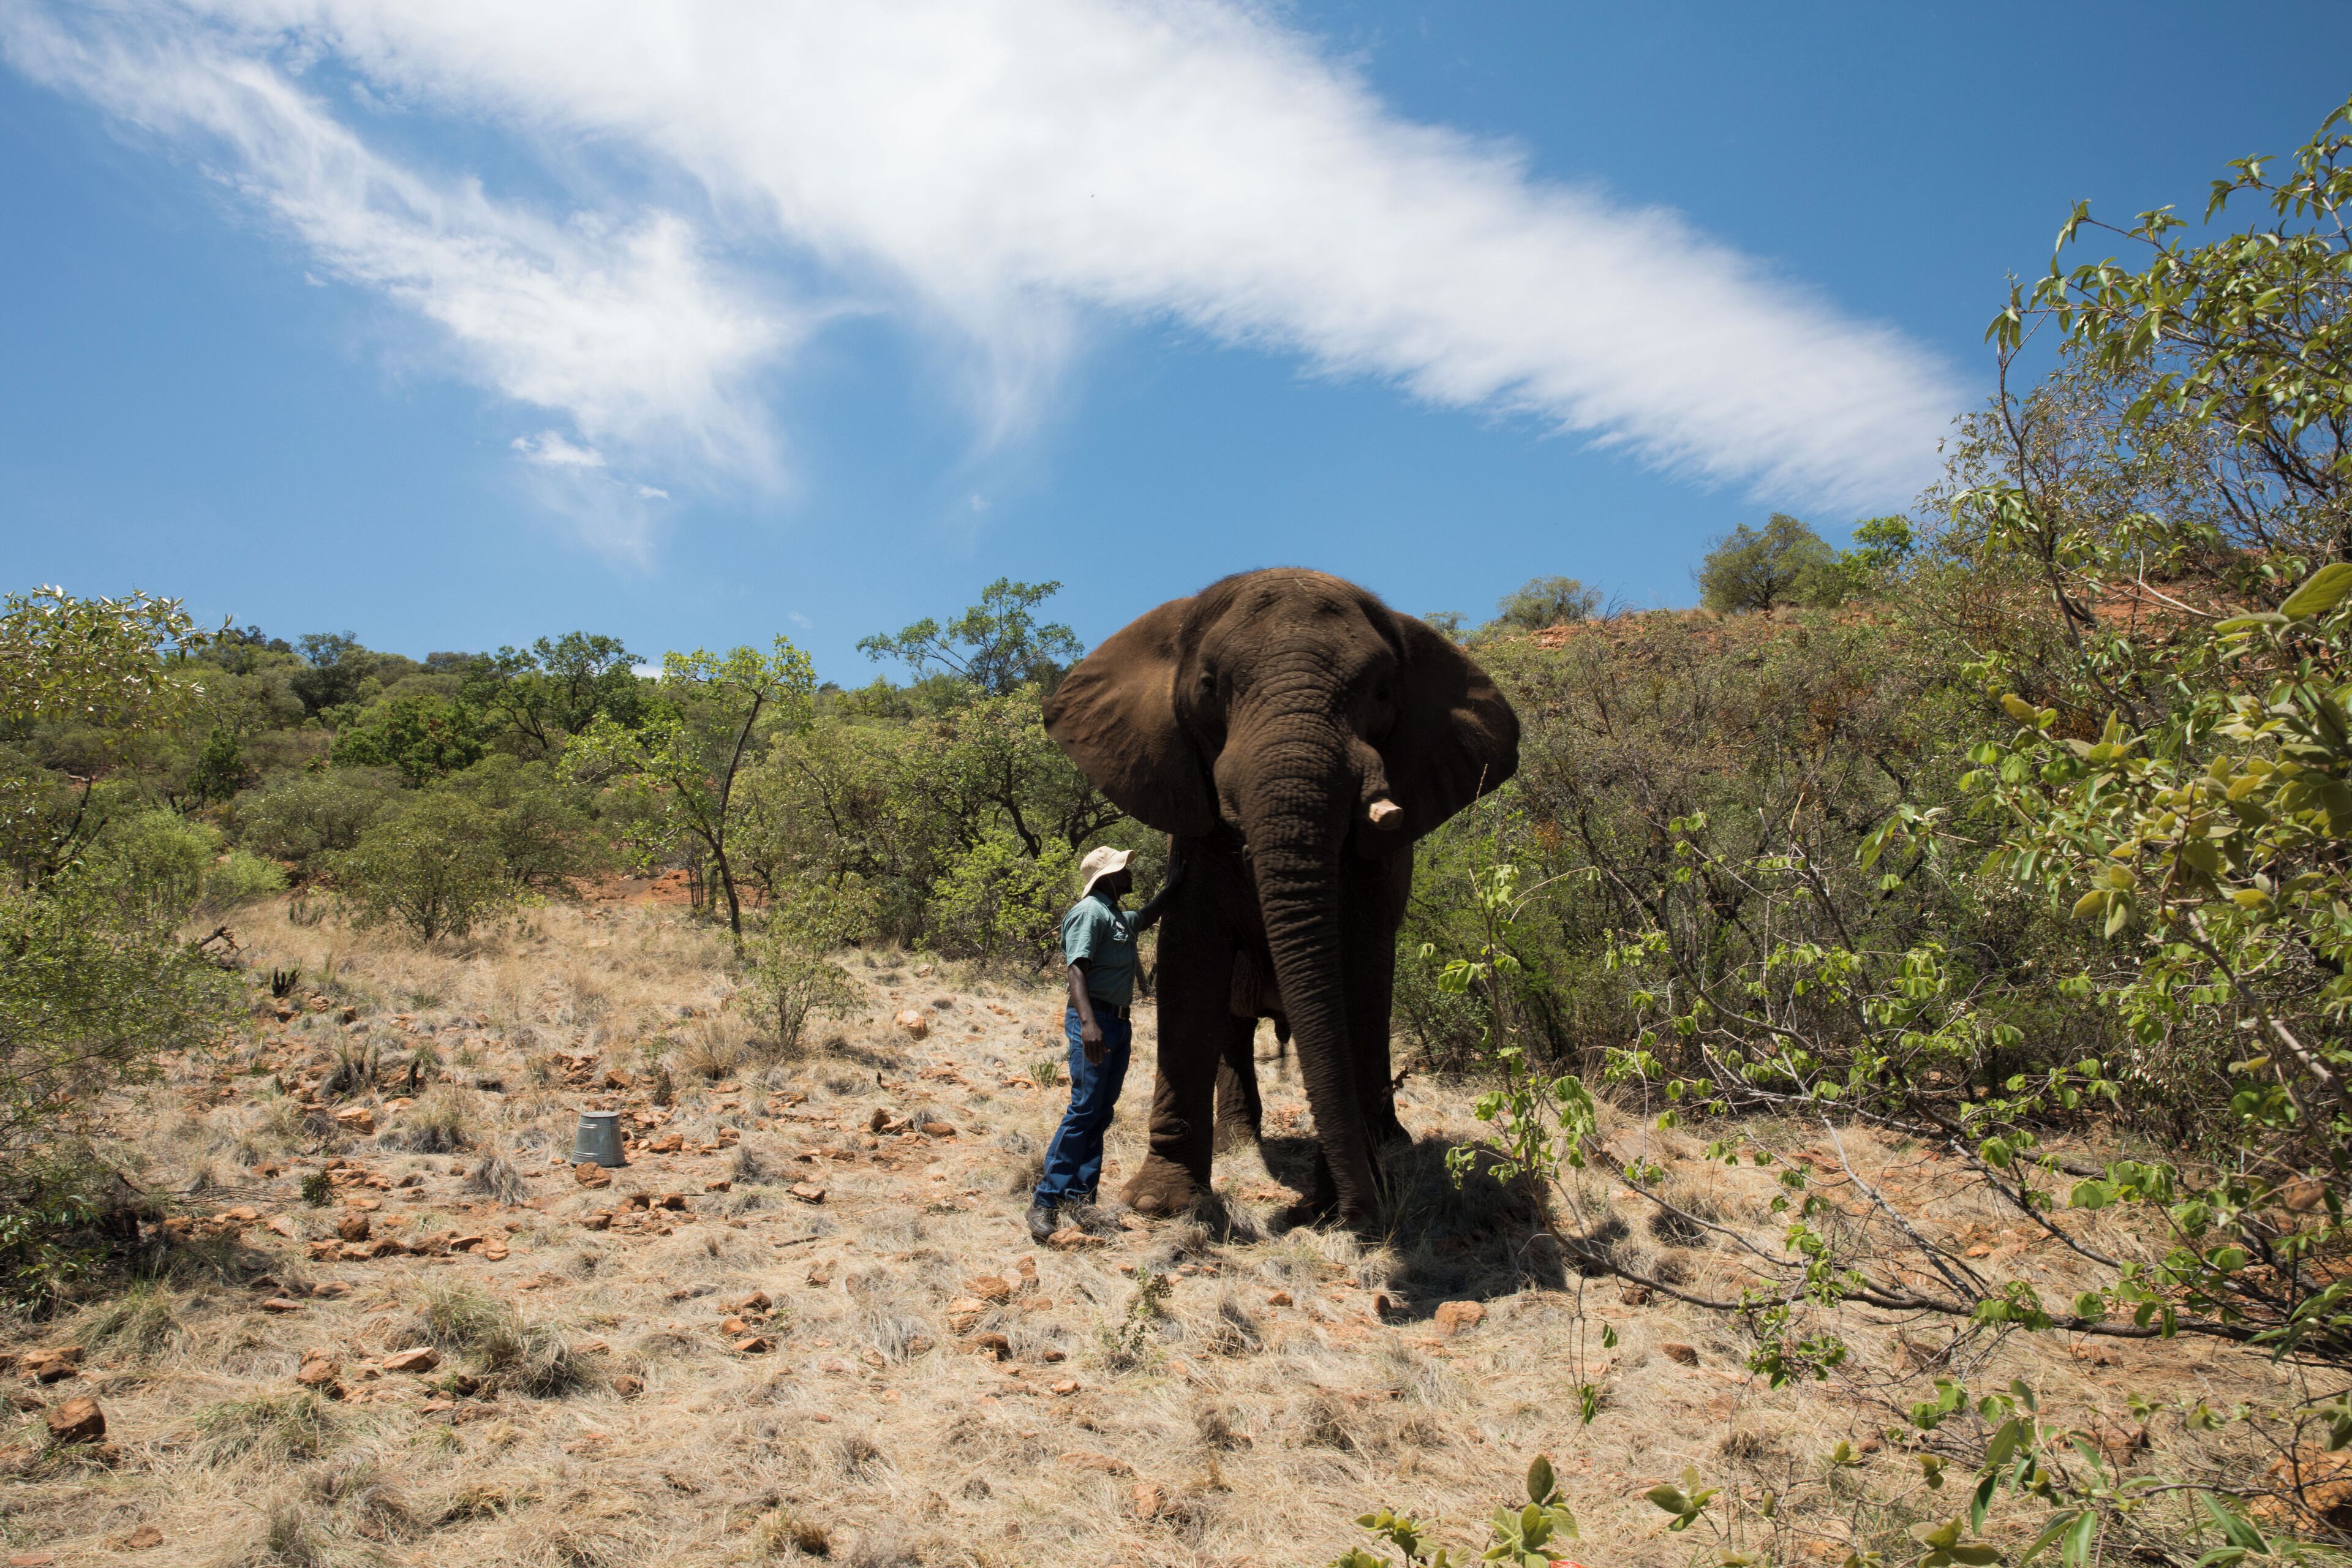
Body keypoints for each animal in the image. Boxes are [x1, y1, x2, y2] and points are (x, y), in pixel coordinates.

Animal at [1040, 568, 1518, 1227]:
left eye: (1381, 693)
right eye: (1210, 686)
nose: (1346, 1211)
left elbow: (1362, 975)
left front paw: (1351, 1193)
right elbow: (1190, 963)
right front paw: (1162, 1205)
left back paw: (1388, 1144)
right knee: (1235, 1026)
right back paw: (1240, 1142)